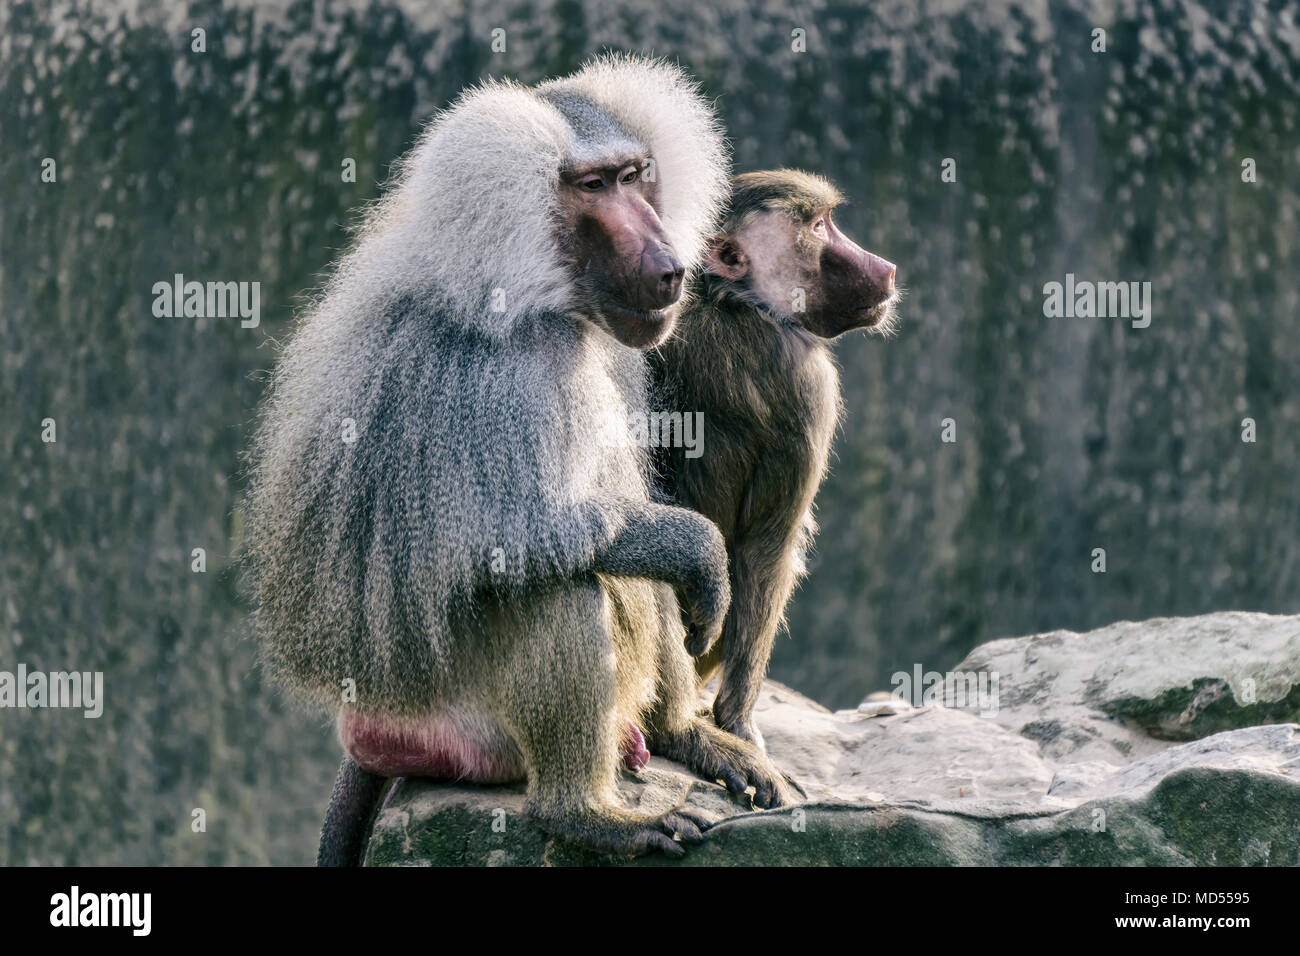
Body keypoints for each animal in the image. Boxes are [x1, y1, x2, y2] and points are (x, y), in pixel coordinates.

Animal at [242, 56, 796, 867]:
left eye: (636, 175)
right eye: (592, 187)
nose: (670, 267)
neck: (537, 293)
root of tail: (370, 724)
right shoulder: (497, 377)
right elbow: (527, 537)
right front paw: (701, 551)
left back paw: (684, 737)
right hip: (457, 720)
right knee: (559, 583)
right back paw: (588, 814)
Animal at [650, 169, 899, 749]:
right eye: (817, 227)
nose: (887, 267)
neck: (730, 298)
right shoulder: (807, 380)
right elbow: (768, 547)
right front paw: (737, 719)